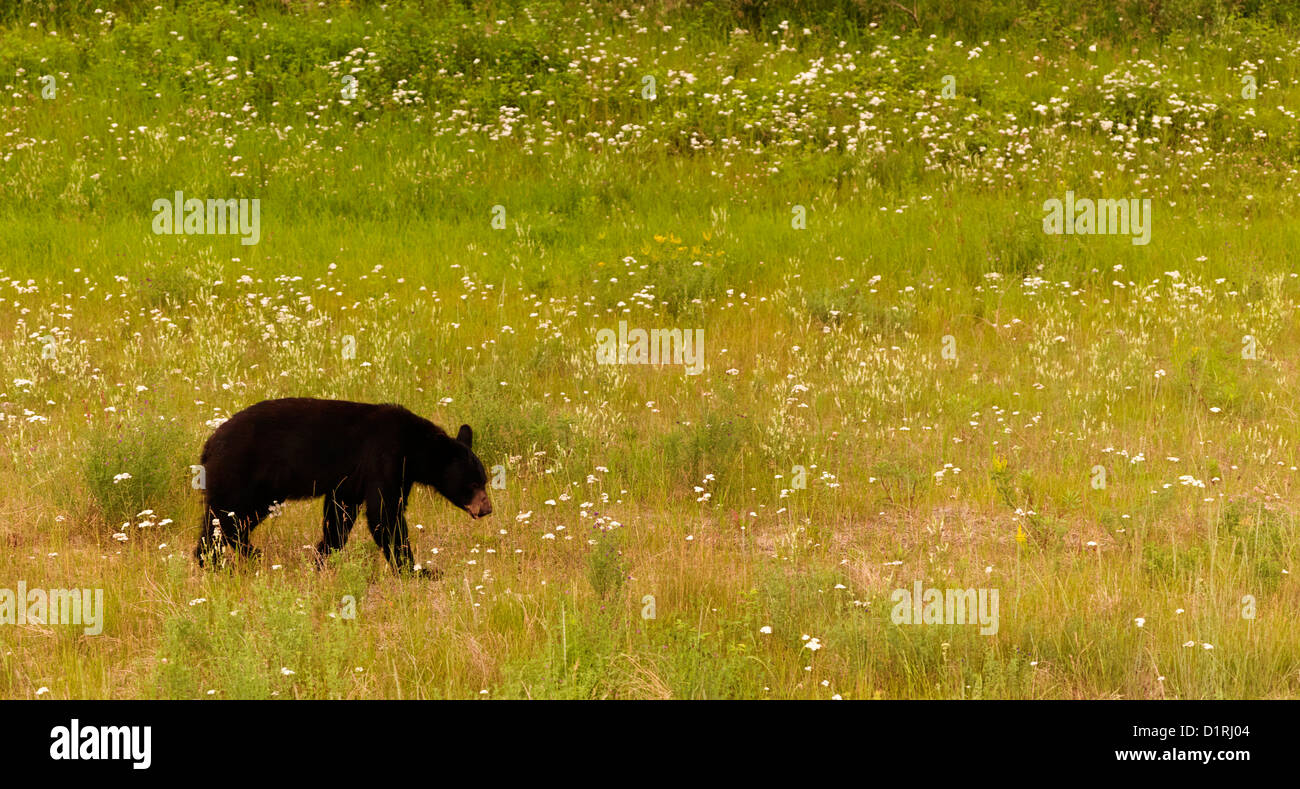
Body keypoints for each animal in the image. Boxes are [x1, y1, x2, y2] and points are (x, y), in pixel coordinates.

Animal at [193, 397, 492, 576]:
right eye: (473, 483)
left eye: (484, 480)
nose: (487, 508)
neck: (414, 447)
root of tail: (209, 445)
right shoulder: (384, 458)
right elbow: (384, 514)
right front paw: (419, 571)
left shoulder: (355, 481)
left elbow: (340, 515)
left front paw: (322, 559)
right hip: (241, 474)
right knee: (226, 517)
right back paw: (225, 558)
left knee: (231, 520)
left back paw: (231, 557)